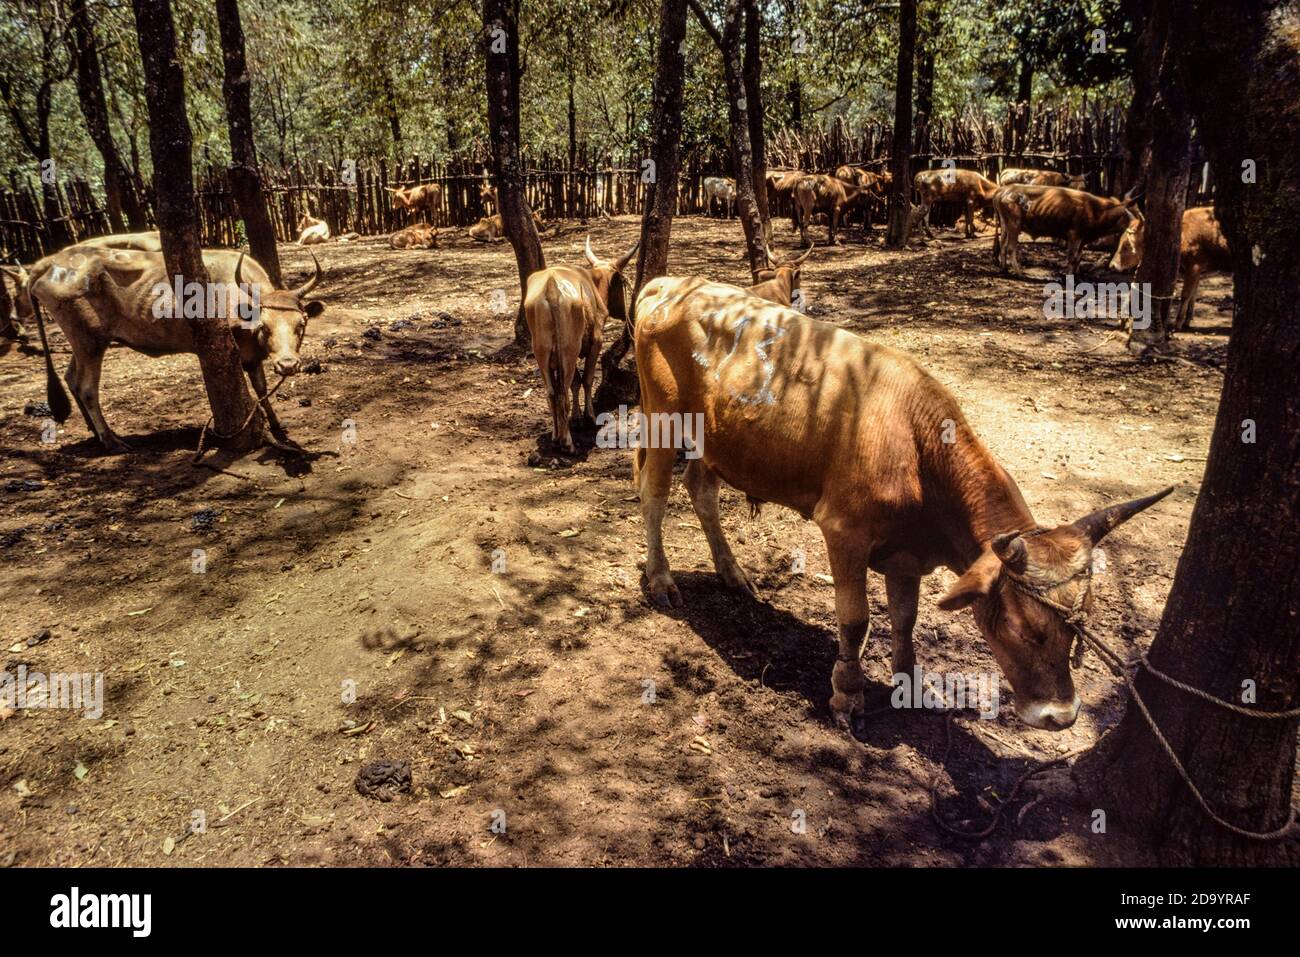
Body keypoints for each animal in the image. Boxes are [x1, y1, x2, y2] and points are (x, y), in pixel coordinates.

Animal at [27, 245, 323, 453]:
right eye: (265, 327)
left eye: (301, 324)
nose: (288, 364)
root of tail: (48, 263)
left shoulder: (254, 357)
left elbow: (261, 387)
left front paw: (276, 423)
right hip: (90, 342)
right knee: (87, 388)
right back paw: (111, 441)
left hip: (83, 343)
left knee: (71, 379)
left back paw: (94, 432)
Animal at [521, 236, 637, 452]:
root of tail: (551, 285)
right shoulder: (595, 343)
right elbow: (587, 379)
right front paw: (589, 417)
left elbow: (576, 382)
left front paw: (576, 418)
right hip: (569, 350)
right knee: (562, 392)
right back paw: (566, 442)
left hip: (543, 352)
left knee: (552, 392)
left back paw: (555, 435)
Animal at [632, 276, 1173, 732]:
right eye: (1022, 629)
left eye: (1080, 628)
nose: (1060, 716)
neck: (917, 445)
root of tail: (672, 282)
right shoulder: (844, 531)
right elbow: (855, 622)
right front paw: (847, 697)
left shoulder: (907, 552)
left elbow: (905, 617)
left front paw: (909, 685)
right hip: (663, 419)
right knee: (653, 494)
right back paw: (661, 579)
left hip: (716, 441)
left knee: (701, 489)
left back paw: (733, 572)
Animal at [994, 185, 1140, 277]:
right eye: (1133, 214)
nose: (1140, 225)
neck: (1096, 211)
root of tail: (1004, 190)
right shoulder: (1074, 235)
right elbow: (1072, 257)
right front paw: (1069, 277)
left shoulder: (1082, 239)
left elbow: (1079, 258)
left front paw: (1078, 276)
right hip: (1014, 225)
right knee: (1011, 248)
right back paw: (1019, 273)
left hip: (1005, 225)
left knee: (1003, 245)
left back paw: (1004, 269)